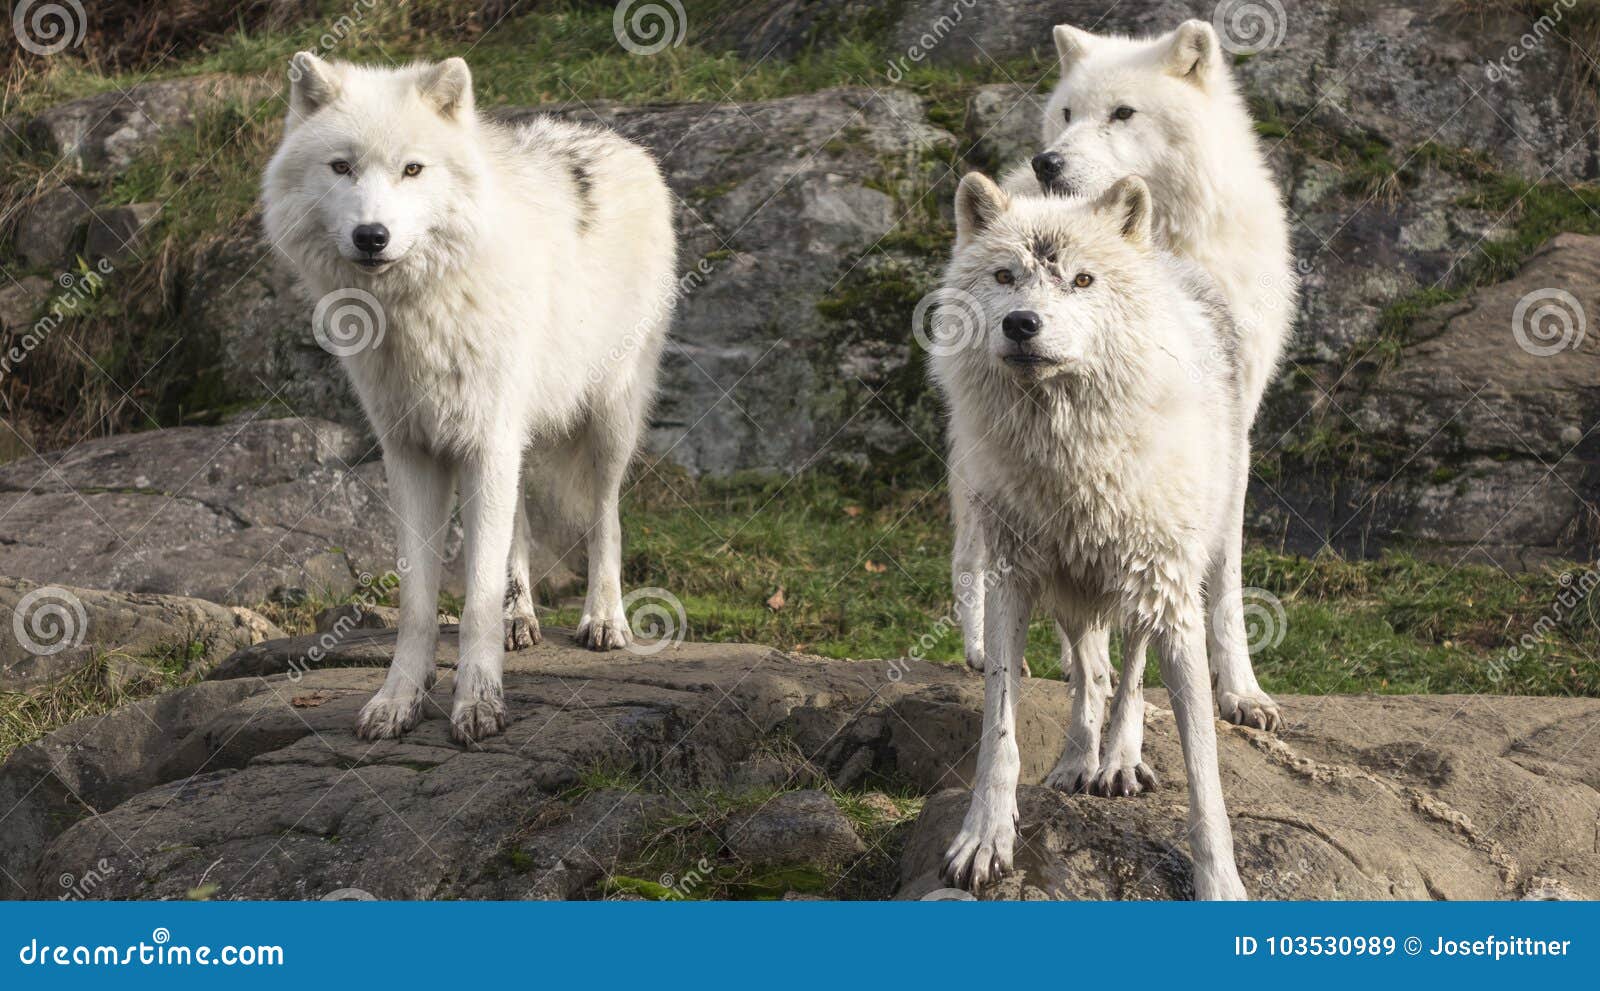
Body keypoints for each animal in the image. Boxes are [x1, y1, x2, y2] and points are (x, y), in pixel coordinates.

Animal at [262, 54, 677, 745]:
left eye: (412, 169)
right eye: (341, 167)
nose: (371, 236)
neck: (417, 311)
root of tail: (613, 140)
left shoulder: (486, 438)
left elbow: (475, 593)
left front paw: (478, 702)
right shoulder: (413, 452)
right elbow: (419, 602)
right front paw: (400, 697)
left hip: (608, 417)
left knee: (605, 514)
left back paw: (603, 618)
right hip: (513, 436)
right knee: (518, 525)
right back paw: (519, 617)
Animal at [931, 172, 1248, 899]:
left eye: (1082, 280)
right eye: (1005, 275)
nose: (1022, 323)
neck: (1070, 453)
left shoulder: (1170, 593)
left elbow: (1203, 770)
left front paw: (1220, 880)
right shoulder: (1013, 580)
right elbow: (1000, 730)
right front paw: (984, 838)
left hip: (1167, 565)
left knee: (1128, 671)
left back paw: (1118, 759)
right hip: (1074, 581)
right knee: (1091, 668)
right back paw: (1080, 757)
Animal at [953, 19, 1294, 797]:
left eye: (1122, 114)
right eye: (1066, 113)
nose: (1048, 162)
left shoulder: (1221, 445)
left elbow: (1220, 583)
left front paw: (1238, 692)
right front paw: (1101, 742)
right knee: (972, 549)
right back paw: (990, 645)